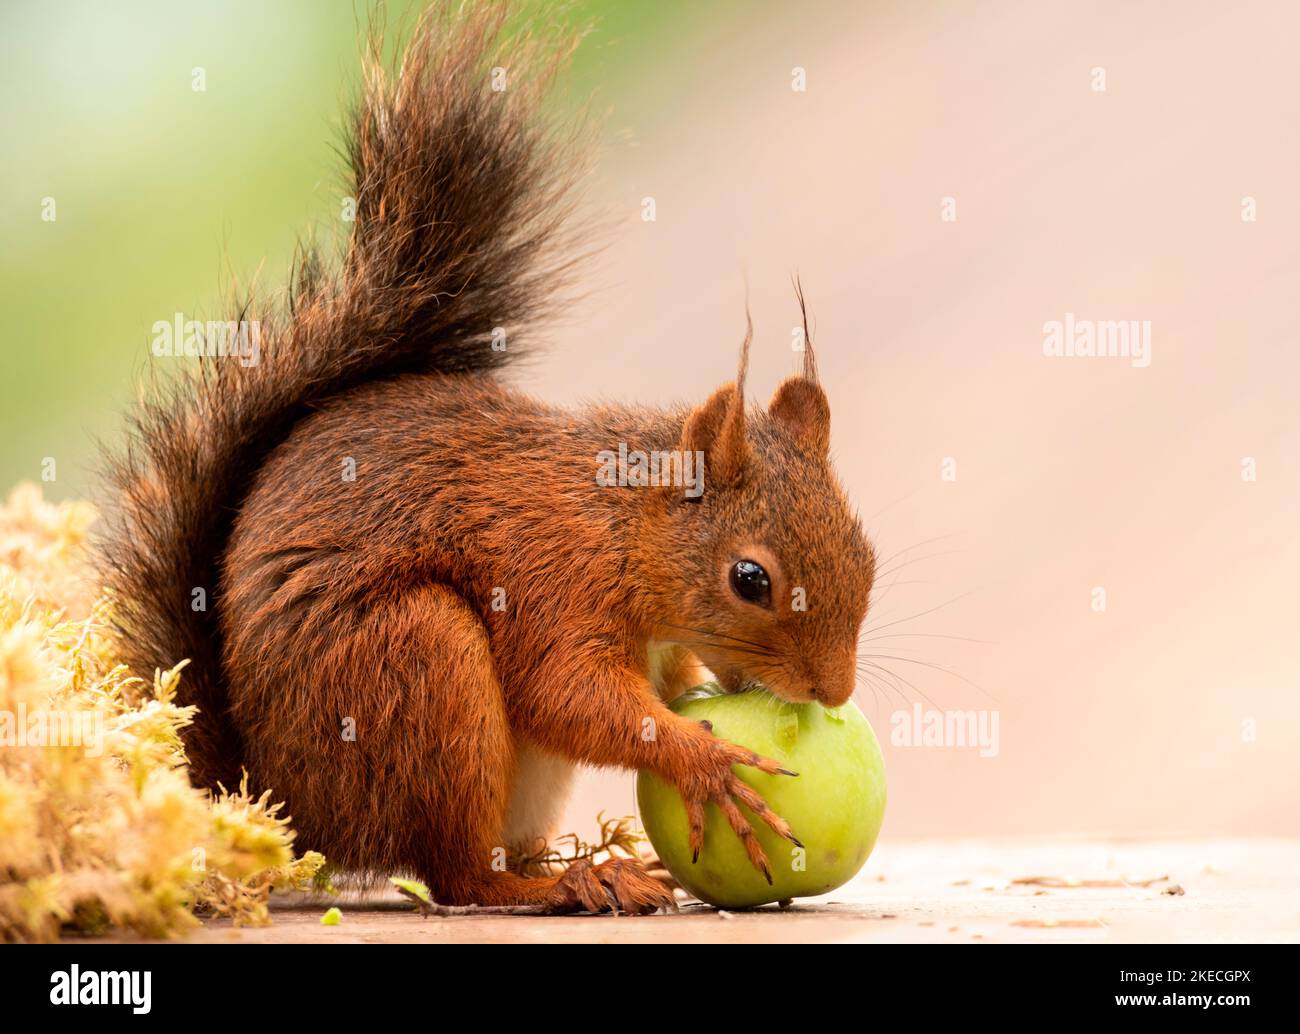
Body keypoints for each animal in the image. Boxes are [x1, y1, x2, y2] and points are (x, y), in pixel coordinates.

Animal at [96, 3, 876, 915]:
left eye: (867, 555)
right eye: (749, 580)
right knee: (460, 876)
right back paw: (566, 884)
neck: (624, 526)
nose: (835, 691)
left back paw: (604, 869)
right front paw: (705, 761)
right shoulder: (552, 578)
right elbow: (569, 697)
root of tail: (285, 804)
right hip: (419, 666)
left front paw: (693, 703)